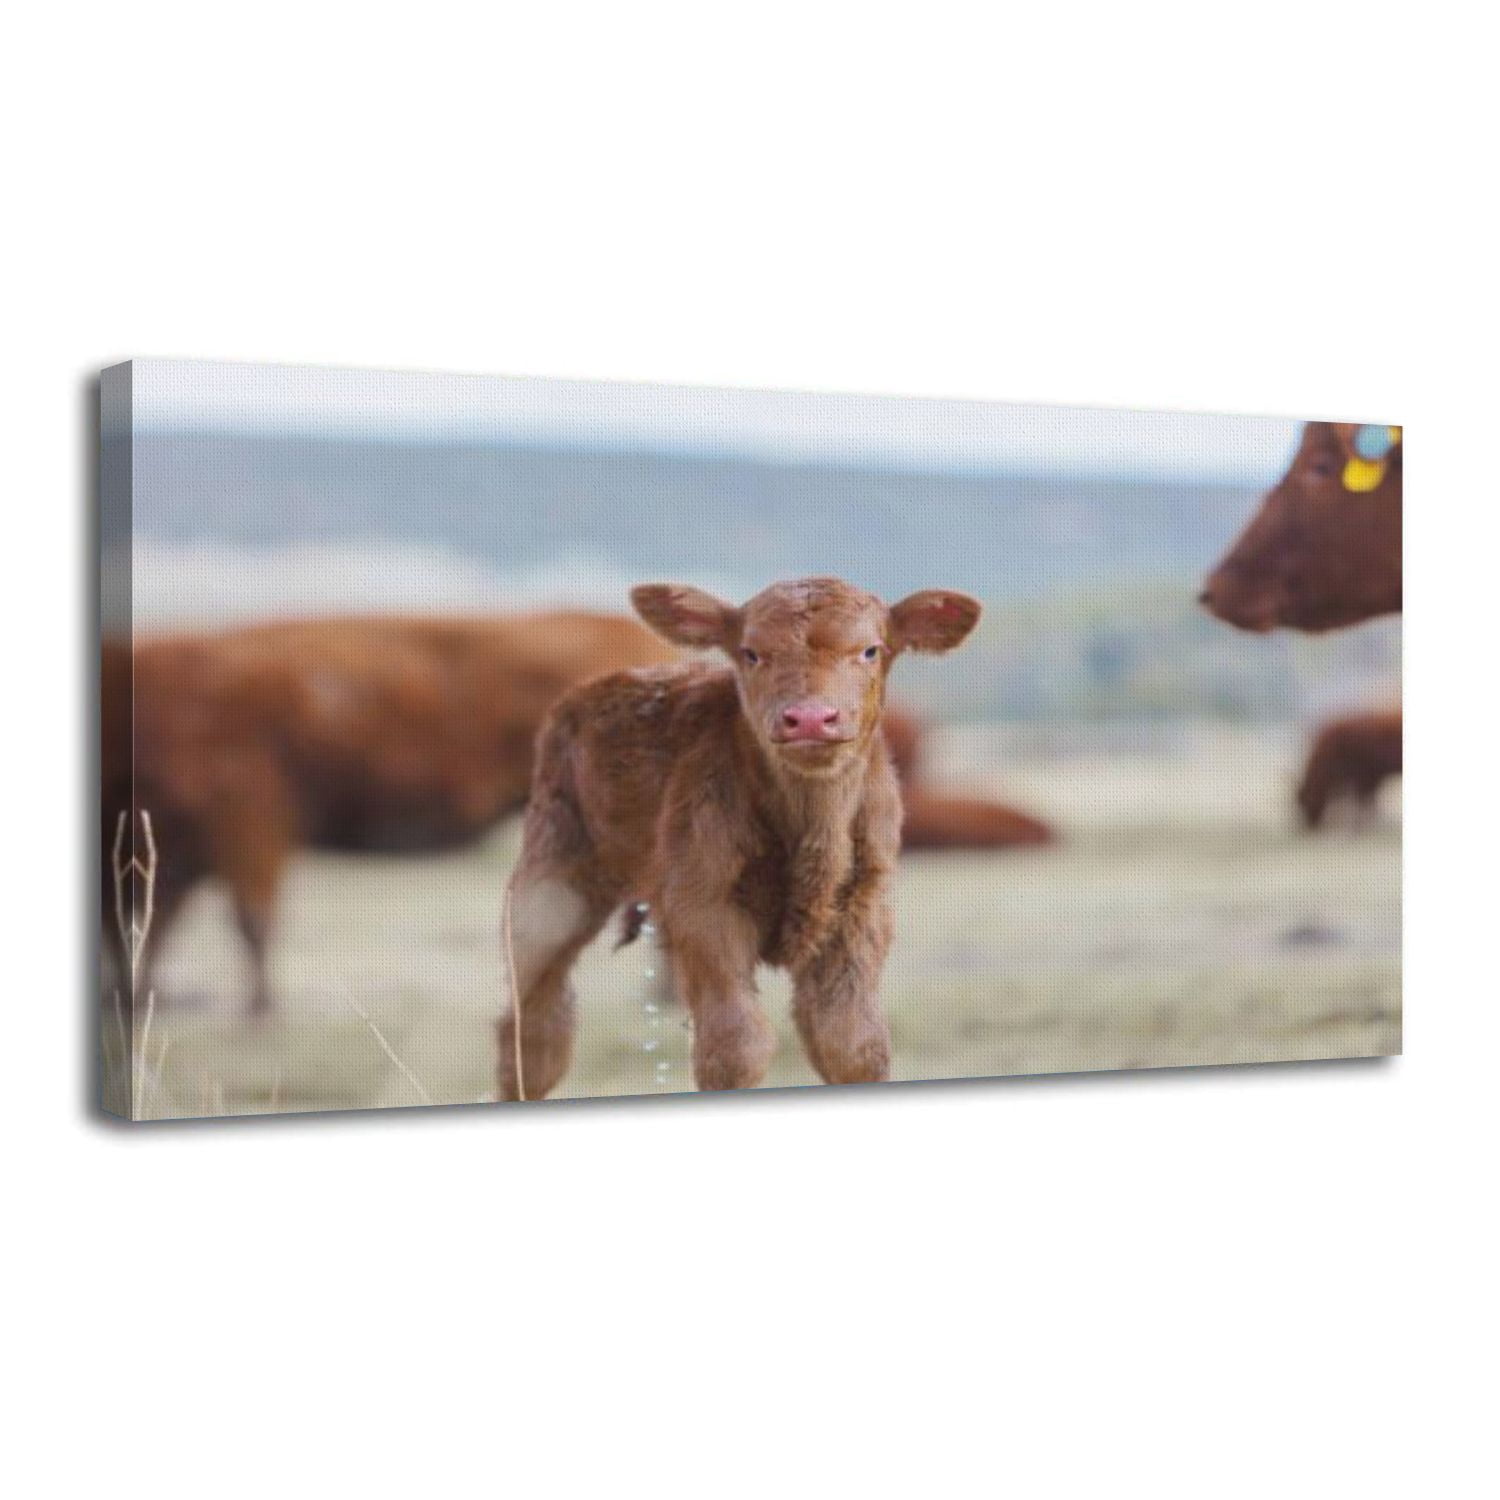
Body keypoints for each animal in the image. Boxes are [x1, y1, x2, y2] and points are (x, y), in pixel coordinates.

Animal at [496, 577, 983, 1100]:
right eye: (751, 653)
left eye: (871, 650)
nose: (810, 718)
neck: (810, 829)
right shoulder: (705, 905)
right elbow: (735, 1045)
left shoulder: (862, 907)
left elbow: (850, 1042)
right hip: (551, 874)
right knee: (535, 1022)